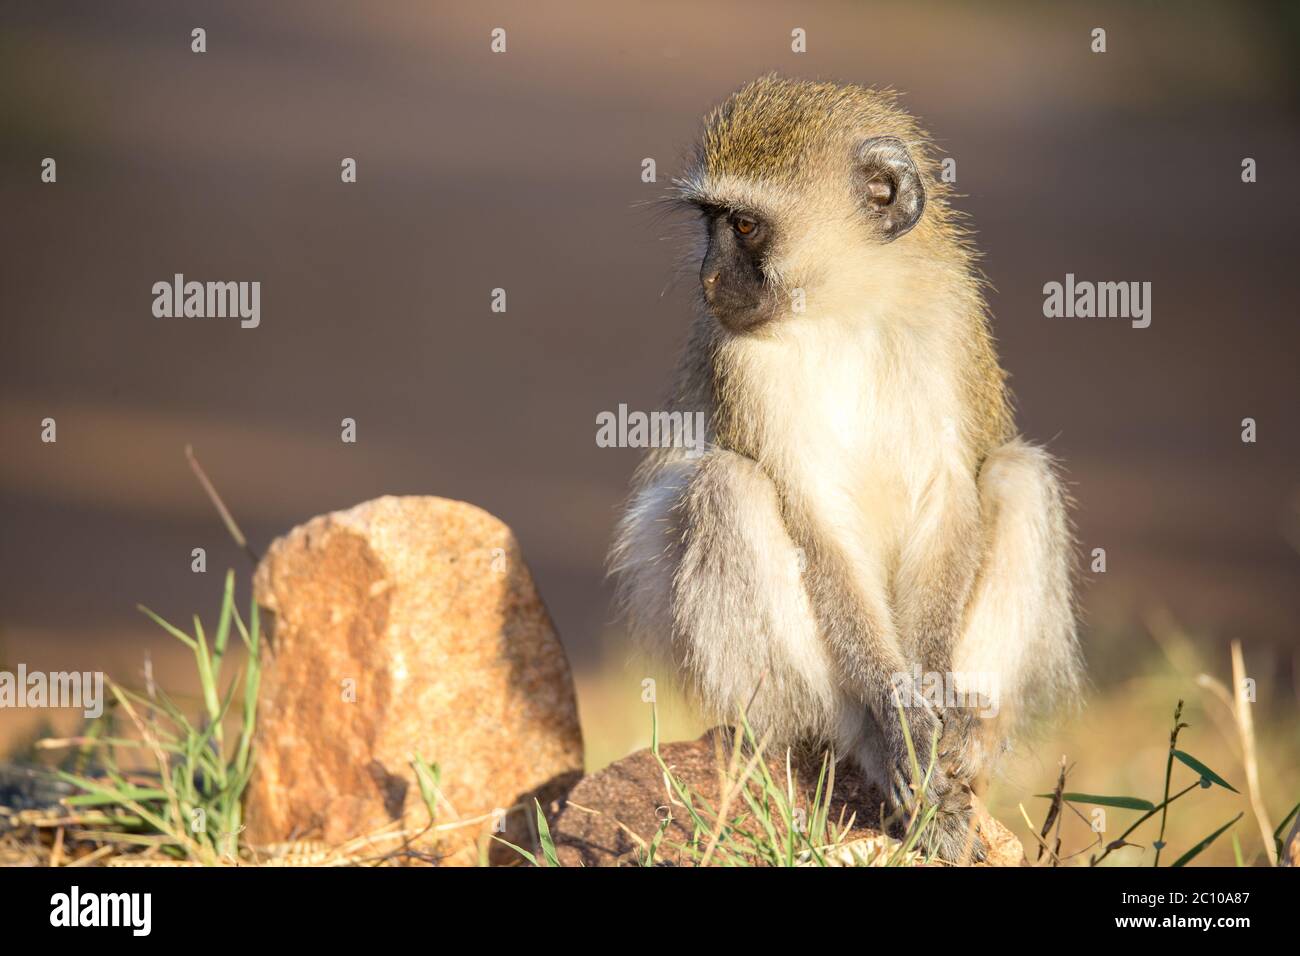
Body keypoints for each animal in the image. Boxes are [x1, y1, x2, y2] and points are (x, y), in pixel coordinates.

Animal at [610, 75, 1082, 862]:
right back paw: (866, 746)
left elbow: (948, 495)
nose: (709, 279)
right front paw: (899, 720)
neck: (848, 306)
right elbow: (812, 517)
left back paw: (968, 743)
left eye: (744, 226)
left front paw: (933, 710)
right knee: (726, 487)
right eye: (710, 223)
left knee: (1019, 474)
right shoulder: (741, 356)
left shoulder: (950, 322)